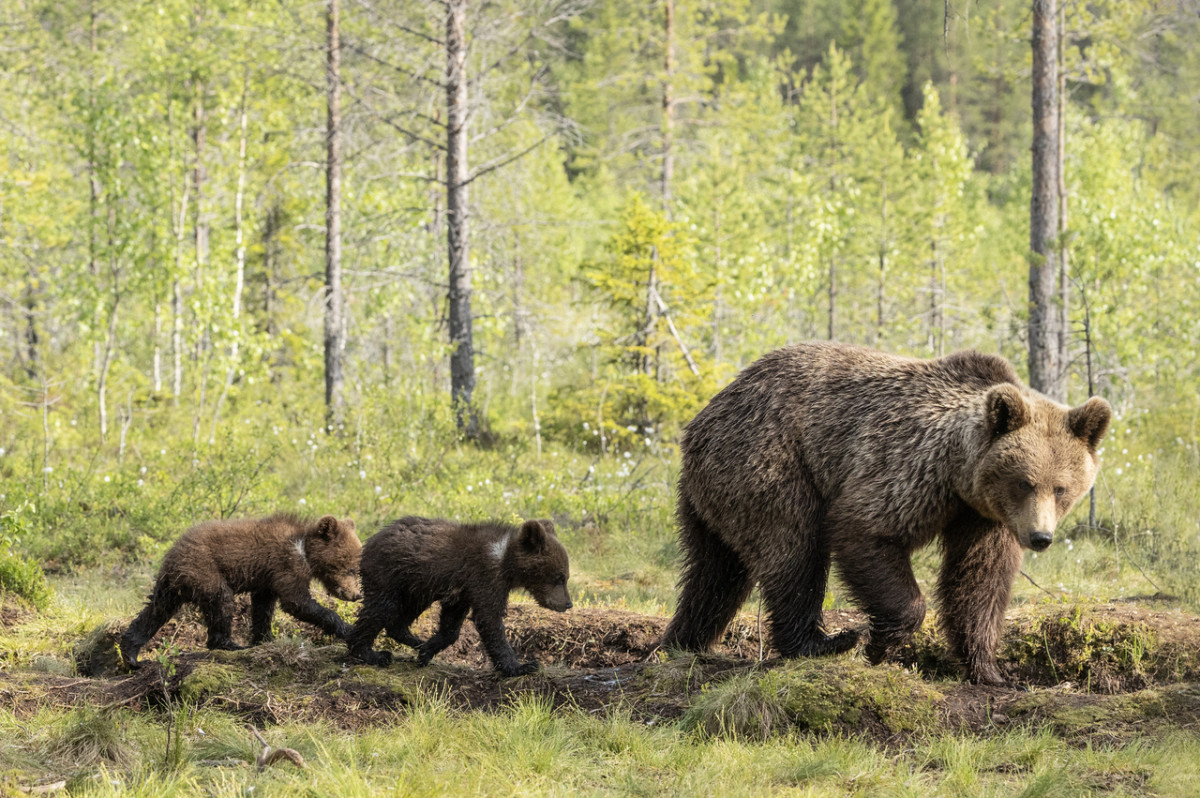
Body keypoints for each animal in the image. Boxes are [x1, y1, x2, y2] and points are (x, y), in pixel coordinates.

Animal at [120, 513, 363, 669]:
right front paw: (346, 628)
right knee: (221, 601)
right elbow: (296, 602)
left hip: (172, 586)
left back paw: (131, 654)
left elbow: (263, 607)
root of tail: (172, 555)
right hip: (204, 570)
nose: (356, 595)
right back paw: (230, 644)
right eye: (351, 567)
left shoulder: (267, 579)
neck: (305, 552)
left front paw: (265, 637)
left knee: (155, 610)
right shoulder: (285, 565)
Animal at [345, 516, 572, 677]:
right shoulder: (484, 577)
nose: (568, 603)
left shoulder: (462, 590)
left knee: (404, 613)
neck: (505, 562)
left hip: (414, 587)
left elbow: (452, 624)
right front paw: (522, 666)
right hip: (389, 575)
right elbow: (489, 619)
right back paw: (372, 653)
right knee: (380, 609)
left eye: (565, 576)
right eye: (559, 577)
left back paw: (416, 640)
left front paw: (427, 650)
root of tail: (370, 540)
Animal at [660, 342, 1112, 686]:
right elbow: (866, 529)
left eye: (1061, 488)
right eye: (1025, 482)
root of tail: (707, 413)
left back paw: (682, 641)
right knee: (792, 550)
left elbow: (979, 580)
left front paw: (989, 669)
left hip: (710, 496)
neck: (960, 474)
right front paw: (879, 643)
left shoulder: (985, 517)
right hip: (770, 463)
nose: (1040, 538)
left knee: (715, 572)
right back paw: (822, 641)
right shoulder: (909, 467)